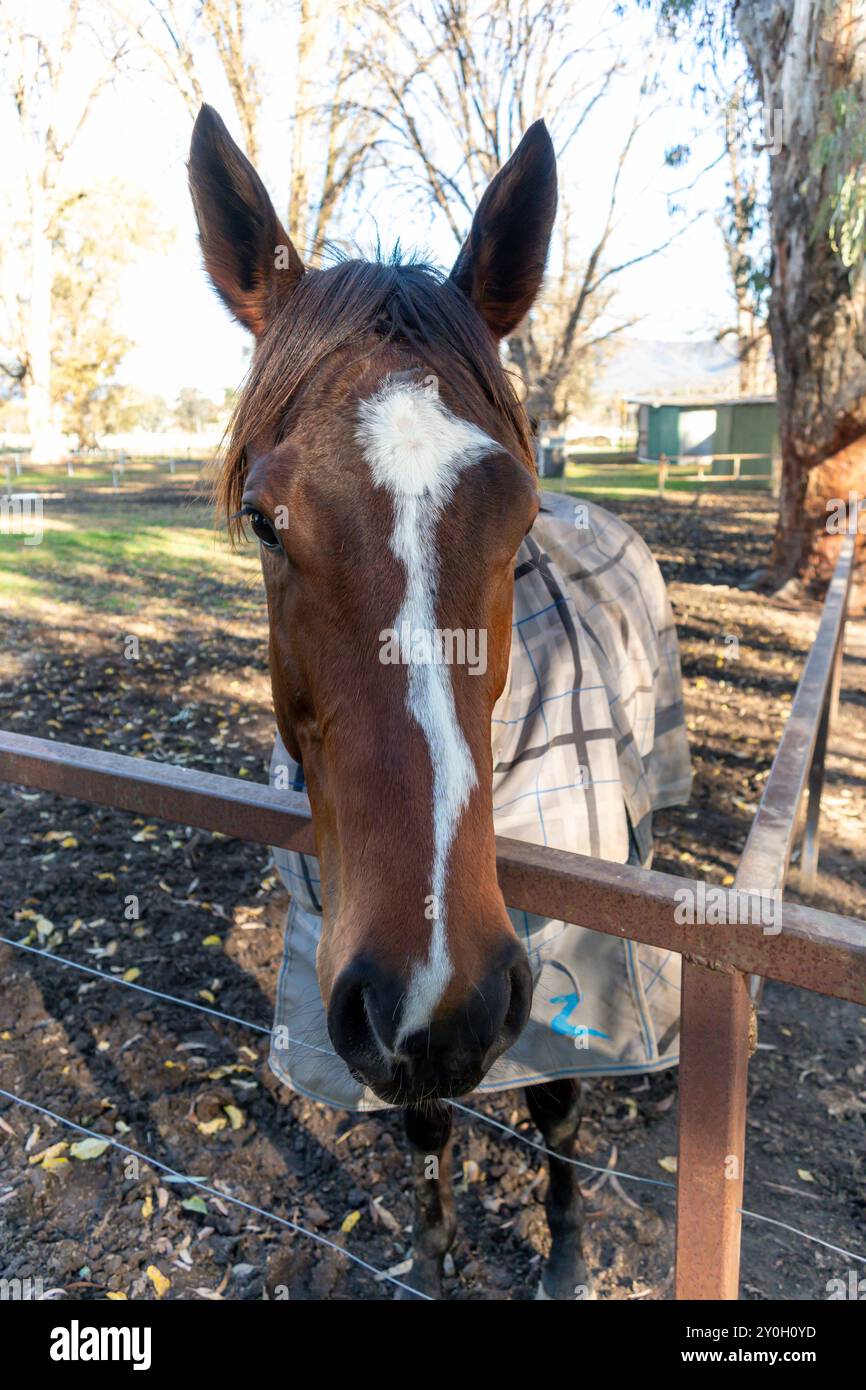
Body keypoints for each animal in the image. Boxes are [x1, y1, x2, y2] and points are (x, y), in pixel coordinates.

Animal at [188, 104, 690, 1300]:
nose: (438, 996)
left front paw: (566, 1253)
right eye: (264, 520)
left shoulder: (554, 968)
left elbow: (557, 1101)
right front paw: (431, 1248)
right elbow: (423, 1119)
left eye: (518, 516)